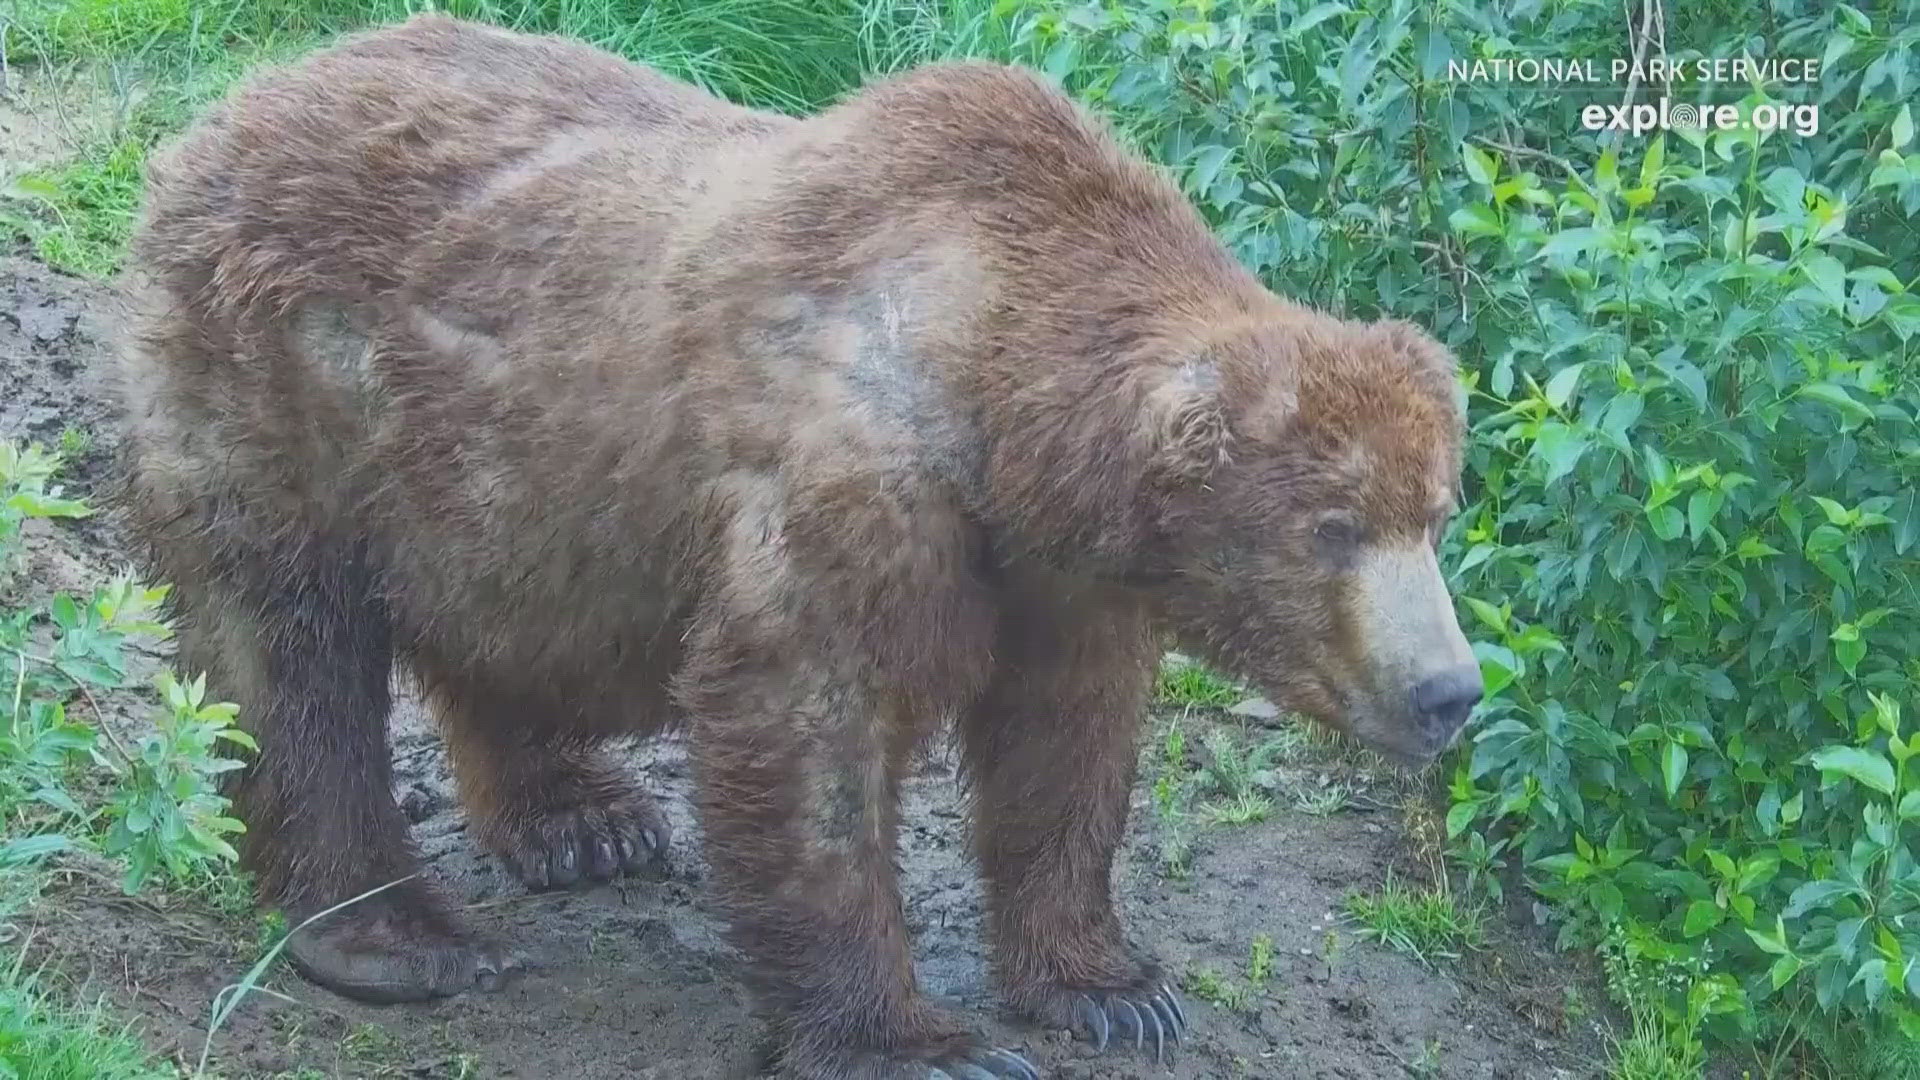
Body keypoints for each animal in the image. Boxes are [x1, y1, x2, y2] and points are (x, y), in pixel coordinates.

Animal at [111, 13, 1483, 1079]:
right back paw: (398, 936)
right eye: (1333, 527)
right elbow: (809, 726)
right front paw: (919, 1039)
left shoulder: (1061, 576)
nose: (1451, 690)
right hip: (283, 386)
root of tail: (224, 111)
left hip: (474, 469)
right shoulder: (858, 482)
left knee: (491, 618)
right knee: (288, 654)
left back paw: (582, 822)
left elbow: (1067, 749)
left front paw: (1114, 986)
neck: (1009, 409)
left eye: (1436, 510)